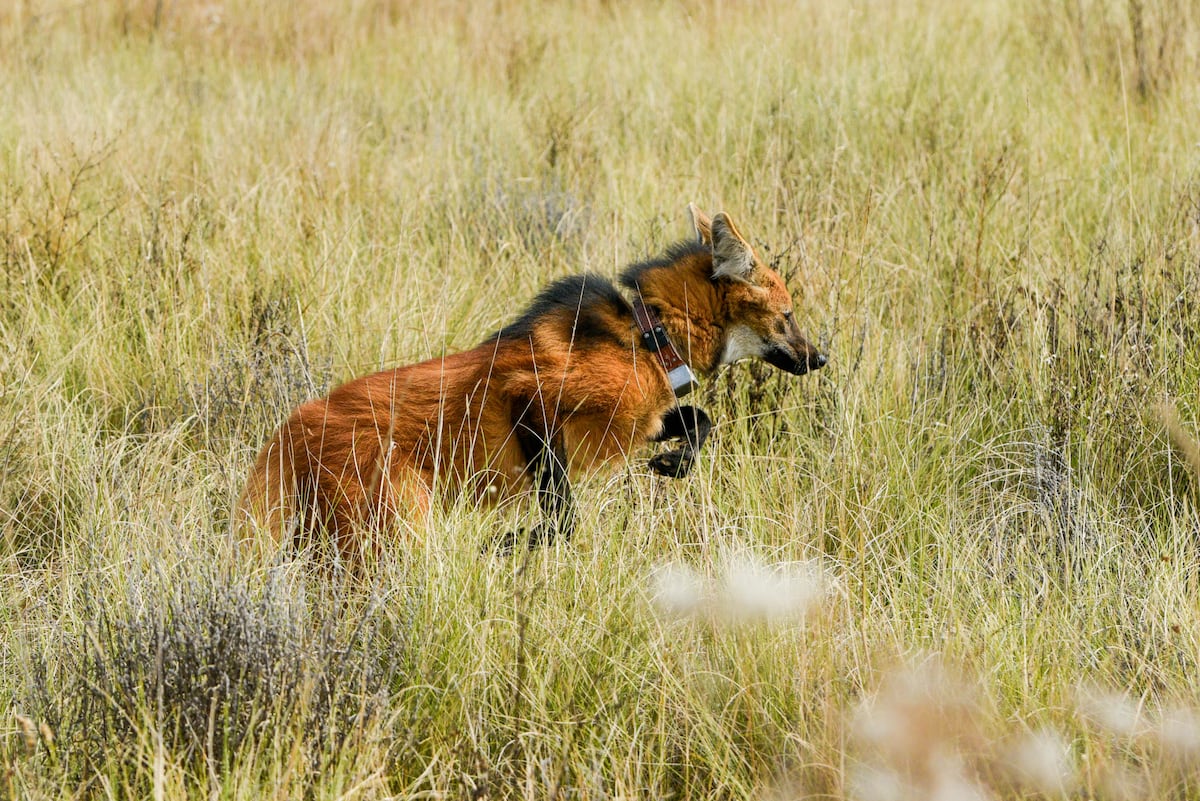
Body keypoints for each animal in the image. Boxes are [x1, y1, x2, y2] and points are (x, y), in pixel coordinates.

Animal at [237, 205, 826, 557]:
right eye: (789, 316)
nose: (820, 358)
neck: (650, 335)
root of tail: (289, 429)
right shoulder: (531, 397)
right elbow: (564, 520)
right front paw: (504, 544)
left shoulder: (633, 421)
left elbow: (698, 422)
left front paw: (673, 463)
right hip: (396, 522)